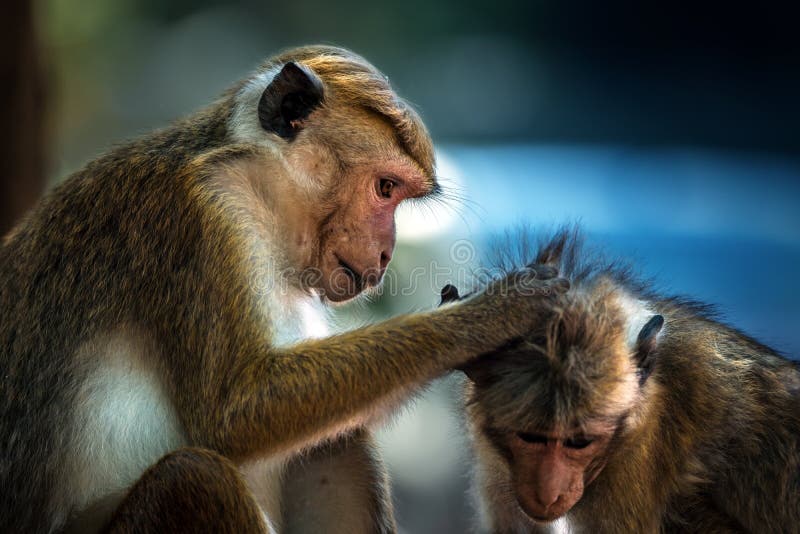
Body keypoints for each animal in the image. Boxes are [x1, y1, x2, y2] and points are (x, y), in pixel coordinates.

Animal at [0, 46, 568, 533]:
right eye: (385, 188)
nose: (387, 253)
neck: (262, 195)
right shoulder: (202, 215)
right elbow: (235, 411)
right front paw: (490, 316)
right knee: (194, 477)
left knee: (334, 442)